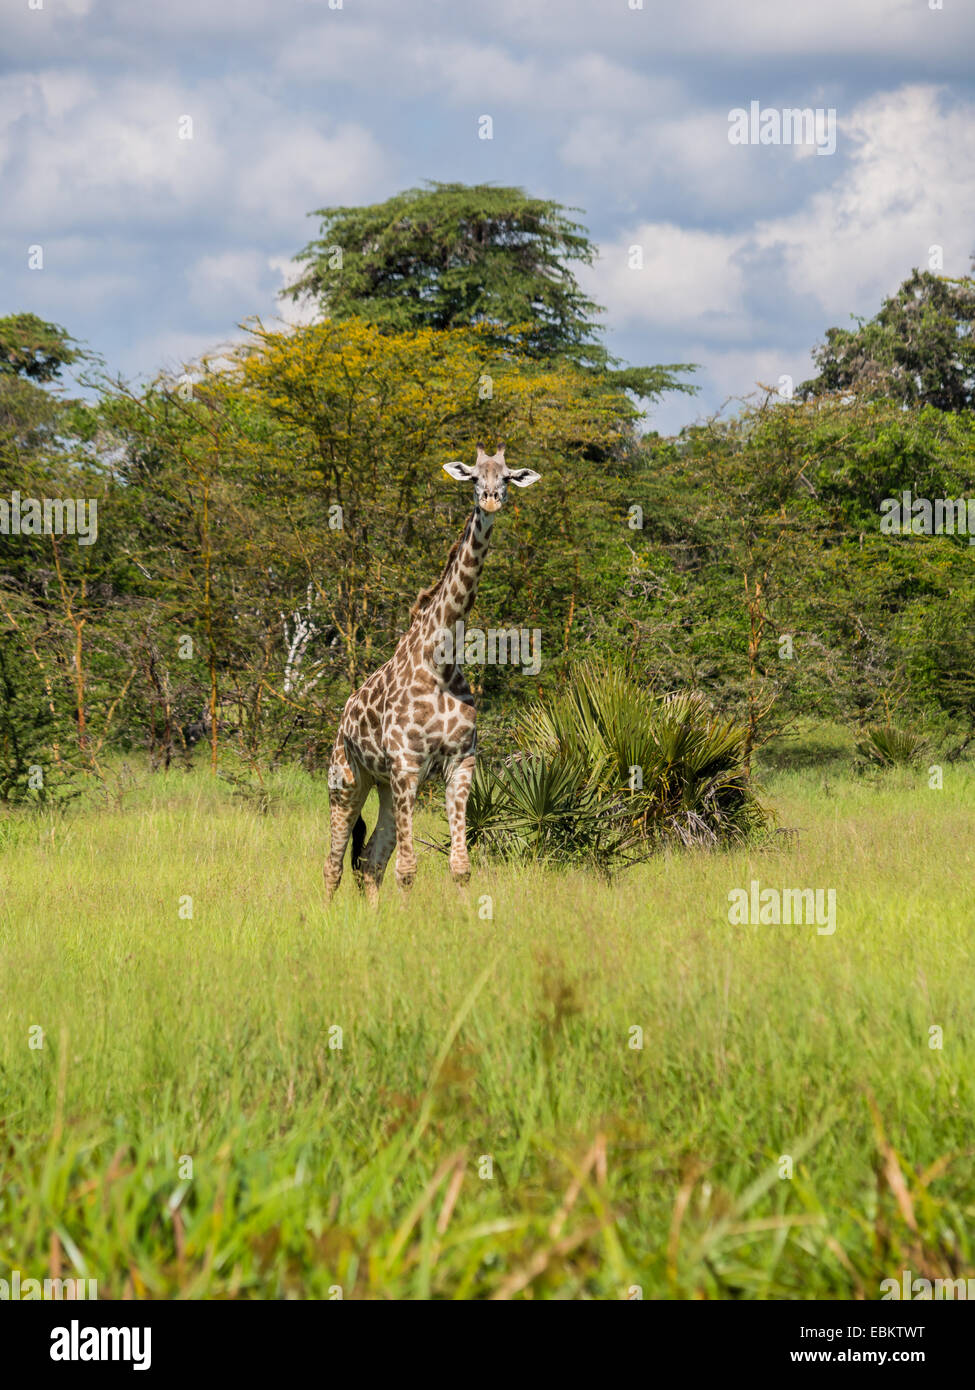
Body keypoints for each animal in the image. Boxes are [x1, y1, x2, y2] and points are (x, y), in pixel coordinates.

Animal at [323, 445, 541, 904]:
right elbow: (408, 869)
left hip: (385, 785)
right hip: (347, 780)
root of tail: (343, 716)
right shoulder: (407, 763)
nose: (490, 500)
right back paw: (325, 912)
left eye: (507, 477)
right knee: (333, 864)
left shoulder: (459, 763)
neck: (440, 660)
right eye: (474, 476)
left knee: (369, 860)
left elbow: (459, 866)